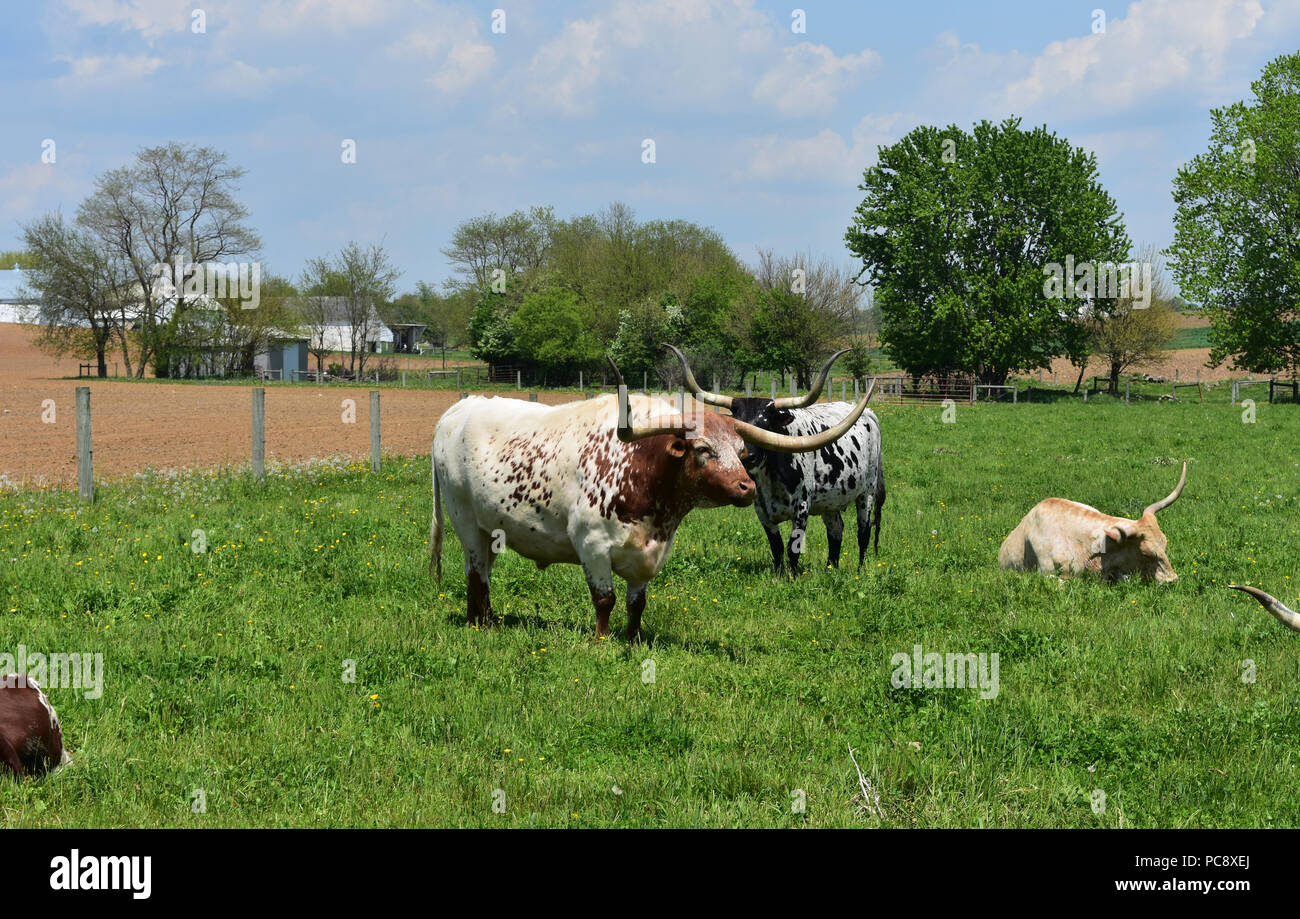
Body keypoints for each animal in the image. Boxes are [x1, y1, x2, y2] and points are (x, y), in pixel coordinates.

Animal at [666, 345, 884, 575]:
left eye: (766, 423)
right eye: (736, 423)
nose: (747, 457)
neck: (771, 476)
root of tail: (868, 413)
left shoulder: (802, 508)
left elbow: (792, 548)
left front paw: (793, 576)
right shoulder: (762, 511)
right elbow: (776, 547)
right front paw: (779, 575)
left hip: (867, 493)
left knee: (863, 532)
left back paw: (859, 570)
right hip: (830, 501)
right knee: (836, 530)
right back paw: (830, 568)